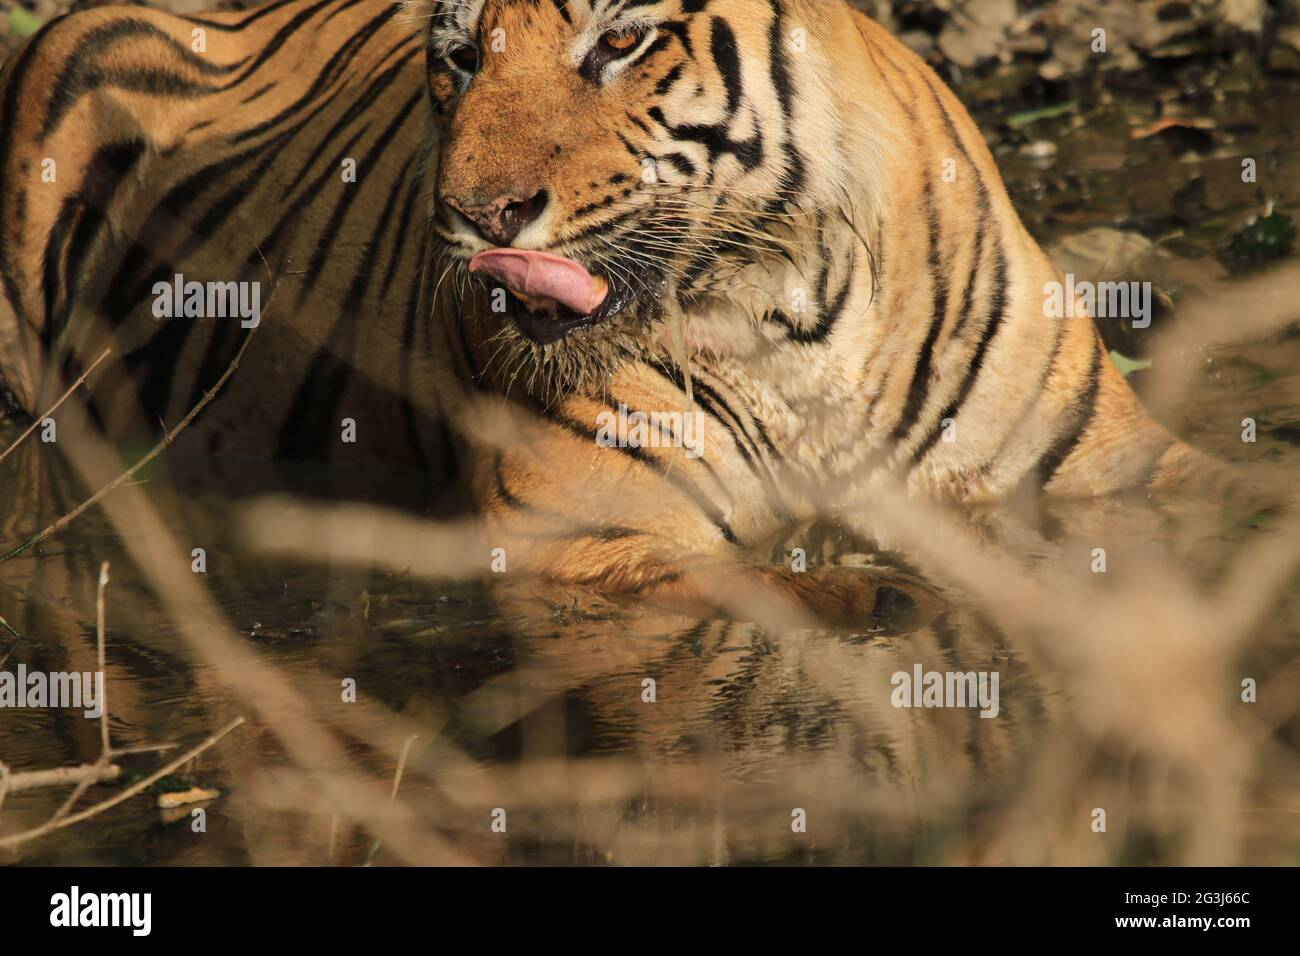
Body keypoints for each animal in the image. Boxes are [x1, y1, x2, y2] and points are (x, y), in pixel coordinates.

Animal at [0, 0, 1205, 621]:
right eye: (461, 56)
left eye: (621, 39)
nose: (474, 212)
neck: (792, 309)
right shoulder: (577, 534)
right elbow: (790, 586)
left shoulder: (1114, 467)